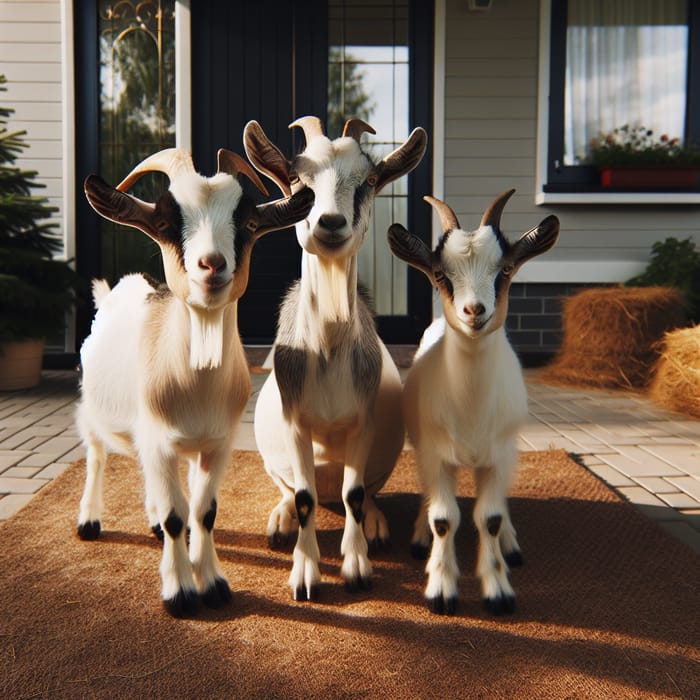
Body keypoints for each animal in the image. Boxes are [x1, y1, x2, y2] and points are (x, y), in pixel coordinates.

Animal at [76, 147, 313, 617]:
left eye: (249, 225)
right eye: (166, 224)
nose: (212, 264)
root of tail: (119, 288)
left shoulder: (216, 444)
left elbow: (202, 511)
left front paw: (214, 584)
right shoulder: (158, 439)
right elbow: (176, 515)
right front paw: (181, 593)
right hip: (92, 411)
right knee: (96, 454)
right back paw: (90, 519)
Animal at [245, 116, 427, 600]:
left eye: (369, 181)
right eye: (297, 180)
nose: (330, 221)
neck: (326, 350)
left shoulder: (363, 424)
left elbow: (355, 495)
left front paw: (357, 566)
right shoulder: (294, 425)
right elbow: (305, 498)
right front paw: (305, 574)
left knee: (361, 495)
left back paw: (376, 525)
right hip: (273, 461)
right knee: (295, 493)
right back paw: (281, 520)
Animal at [387, 191, 559, 615]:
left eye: (506, 269)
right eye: (440, 275)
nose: (474, 311)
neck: (471, 412)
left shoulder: (498, 456)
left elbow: (490, 518)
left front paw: (498, 589)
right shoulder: (435, 453)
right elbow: (445, 519)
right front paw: (441, 589)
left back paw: (511, 545)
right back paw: (420, 538)